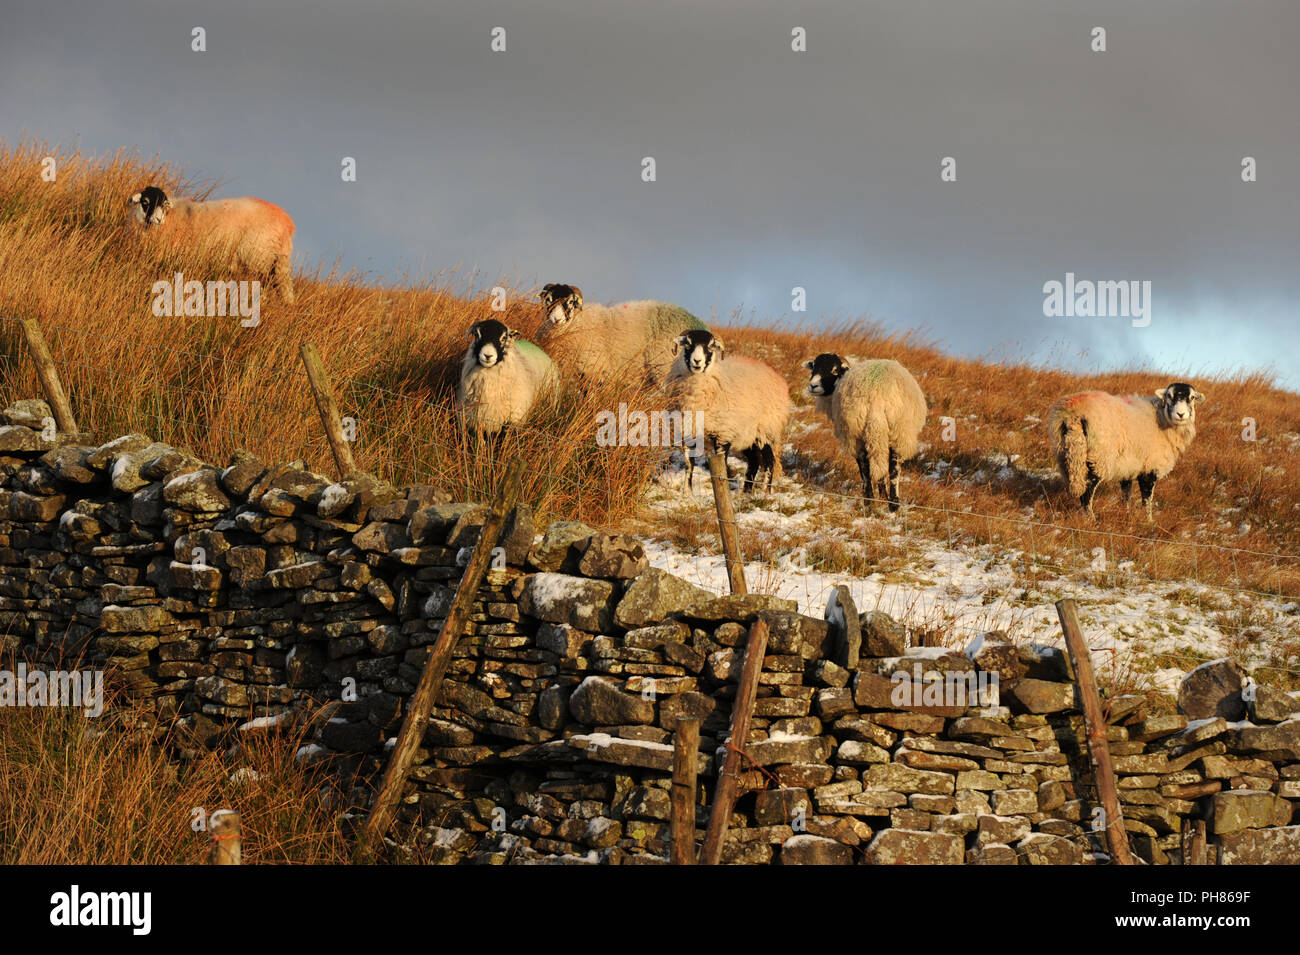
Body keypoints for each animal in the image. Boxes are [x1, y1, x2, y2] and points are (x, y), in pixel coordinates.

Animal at [128, 185, 296, 303]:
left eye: (163, 204)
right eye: (145, 202)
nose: (158, 219)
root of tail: (286, 223)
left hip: (256, 260)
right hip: (275, 265)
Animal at [538, 283, 708, 386]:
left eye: (570, 302)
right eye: (549, 300)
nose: (556, 319)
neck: (579, 322)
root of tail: (699, 324)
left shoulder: (595, 371)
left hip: (665, 367)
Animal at [665, 330, 790, 493]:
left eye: (711, 346)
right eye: (687, 344)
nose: (697, 361)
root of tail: (776, 376)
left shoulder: (722, 434)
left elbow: (722, 466)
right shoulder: (687, 433)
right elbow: (689, 465)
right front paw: (687, 492)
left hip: (766, 429)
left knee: (770, 460)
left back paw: (765, 492)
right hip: (746, 435)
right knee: (754, 461)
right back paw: (746, 492)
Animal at [803, 354, 927, 511]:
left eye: (834, 370)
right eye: (813, 366)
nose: (813, 386)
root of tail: (877, 397)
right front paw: (883, 496)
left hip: (858, 435)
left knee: (867, 468)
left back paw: (870, 501)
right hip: (897, 431)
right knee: (891, 468)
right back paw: (893, 504)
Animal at [1047, 382, 1205, 520]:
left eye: (1192, 397)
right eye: (1169, 396)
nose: (1180, 414)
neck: (1161, 419)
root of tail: (1073, 412)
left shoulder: (1128, 466)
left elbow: (1126, 493)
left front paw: (1126, 514)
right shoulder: (1149, 466)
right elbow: (1147, 498)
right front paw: (1148, 521)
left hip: (1066, 453)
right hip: (1098, 455)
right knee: (1088, 488)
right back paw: (1090, 519)